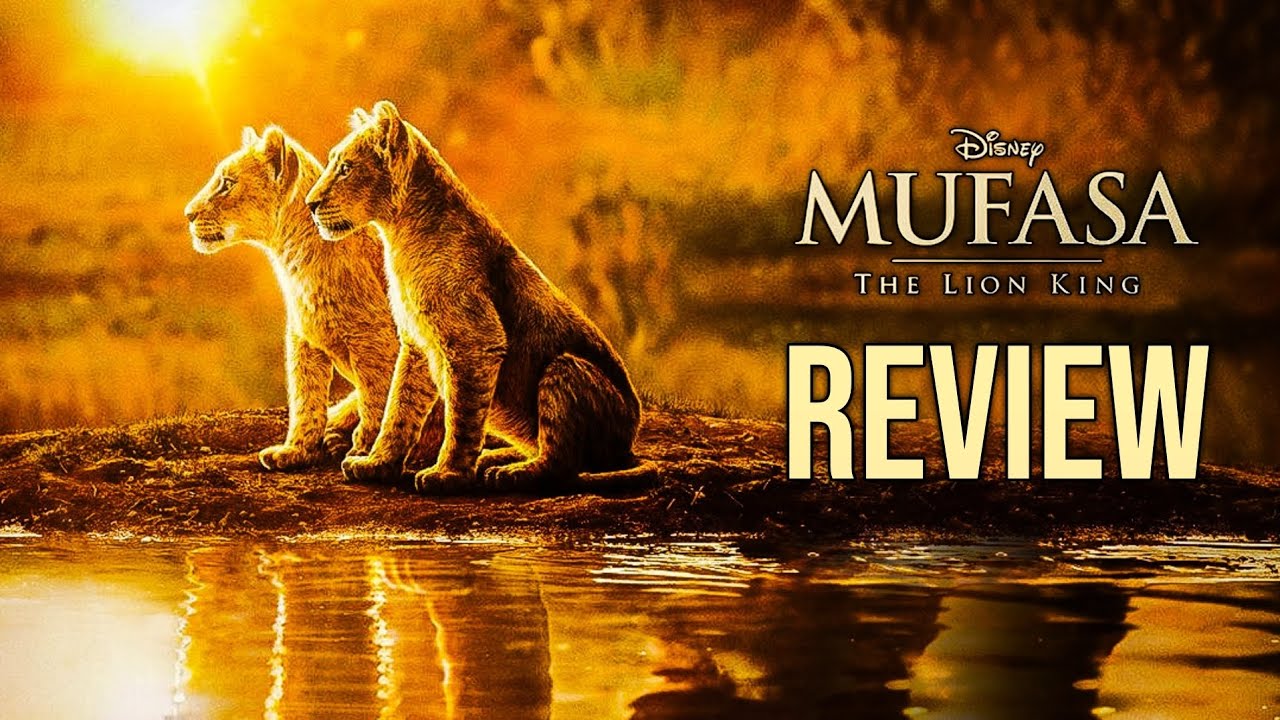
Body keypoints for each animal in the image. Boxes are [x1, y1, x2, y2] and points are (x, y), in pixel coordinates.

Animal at [184, 125, 439, 471]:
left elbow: (379, 393)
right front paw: (296, 450)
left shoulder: (372, 339)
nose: (188, 214)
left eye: (227, 183)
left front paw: (366, 448)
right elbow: (306, 395)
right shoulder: (302, 339)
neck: (292, 259)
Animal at [305, 101, 642, 492]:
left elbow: (461, 416)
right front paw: (377, 464)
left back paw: (511, 472)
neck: (399, 236)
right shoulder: (416, 343)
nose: (310, 204)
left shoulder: (475, 342)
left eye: (346, 169)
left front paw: (448, 475)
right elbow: (399, 407)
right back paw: (496, 458)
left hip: (565, 367)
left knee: (561, 462)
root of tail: (629, 442)